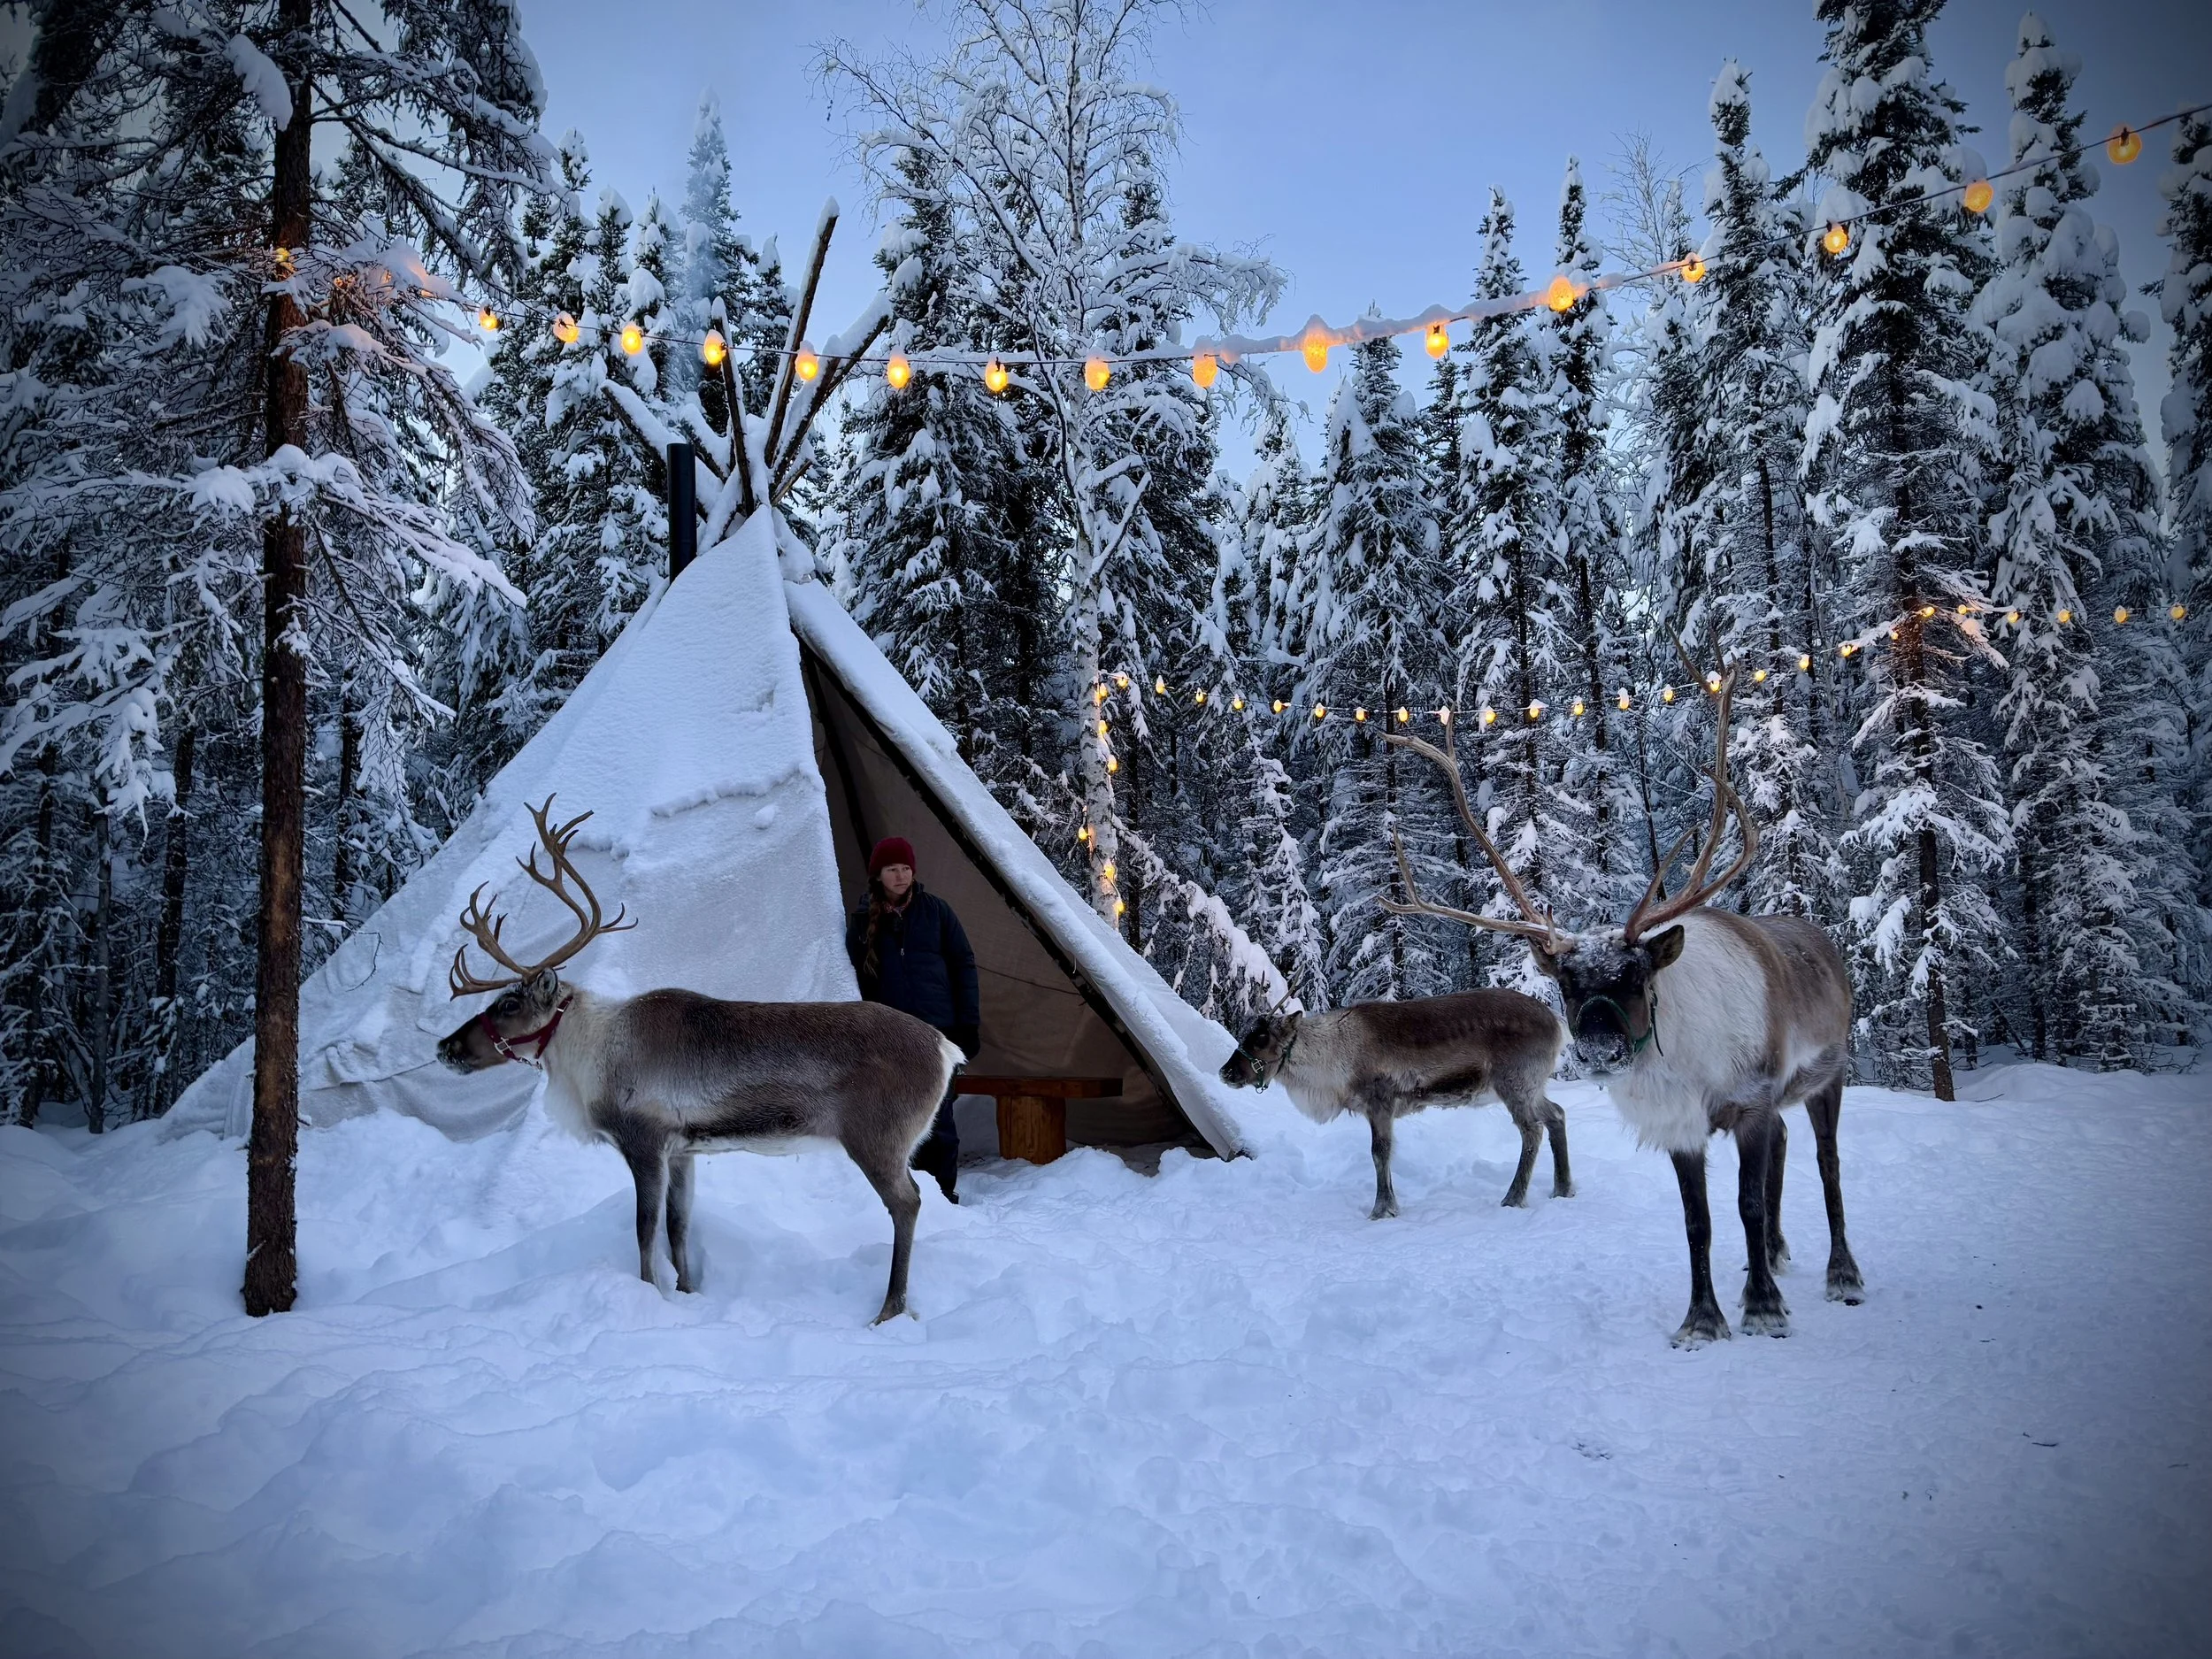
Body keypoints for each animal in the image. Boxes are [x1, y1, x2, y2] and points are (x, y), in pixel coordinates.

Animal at [435, 797, 963, 1325]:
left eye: (508, 1005)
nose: (445, 1048)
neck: (593, 1054)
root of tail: (945, 1047)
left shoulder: (643, 1142)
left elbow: (645, 1230)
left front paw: (650, 1295)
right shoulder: (683, 1150)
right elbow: (677, 1225)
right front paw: (688, 1292)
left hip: (877, 1139)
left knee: (907, 1203)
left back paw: (889, 1309)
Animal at [1219, 988, 1570, 1219]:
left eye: (1261, 1038)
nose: (1225, 1072)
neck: (1332, 1059)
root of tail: (1558, 1023)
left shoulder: (1380, 1102)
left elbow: (1380, 1152)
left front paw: (1381, 1209)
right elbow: (1383, 1154)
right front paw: (1390, 1206)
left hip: (1515, 1084)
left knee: (1532, 1130)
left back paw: (1513, 1198)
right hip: (1531, 1087)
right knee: (1557, 1114)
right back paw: (1563, 1188)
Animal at [1380, 648, 1863, 1347]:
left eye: (1637, 976)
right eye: (1566, 982)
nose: (1601, 1050)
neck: (1689, 1067)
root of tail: (1821, 938)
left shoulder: (1750, 1098)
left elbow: (1745, 1203)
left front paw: (1763, 1309)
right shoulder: (1683, 1126)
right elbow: (1698, 1223)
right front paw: (1703, 1318)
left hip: (1830, 1072)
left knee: (1827, 1163)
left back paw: (1841, 1273)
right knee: (1784, 1151)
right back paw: (1773, 1253)